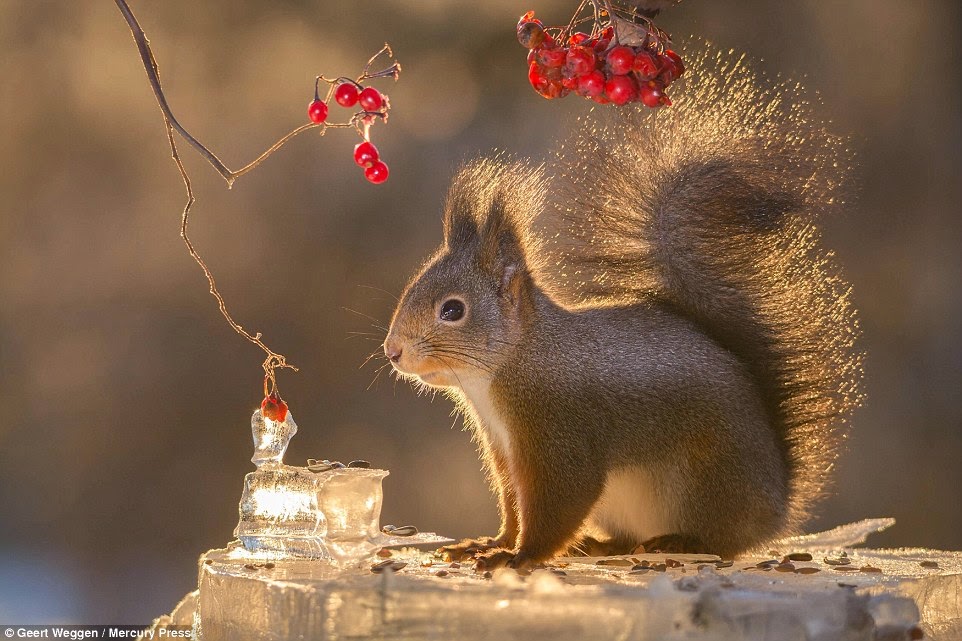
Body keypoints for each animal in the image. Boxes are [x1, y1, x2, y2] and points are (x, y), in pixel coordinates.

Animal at [383, 49, 864, 569]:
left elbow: (560, 500)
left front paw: (518, 557)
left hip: (705, 483)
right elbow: (513, 505)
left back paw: (682, 541)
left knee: (724, 541)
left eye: (453, 311)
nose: (393, 352)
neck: (512, 363)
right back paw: (603, 543)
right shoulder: (505, 451)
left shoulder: (559, 430)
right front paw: (490, 543)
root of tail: (776, 507)